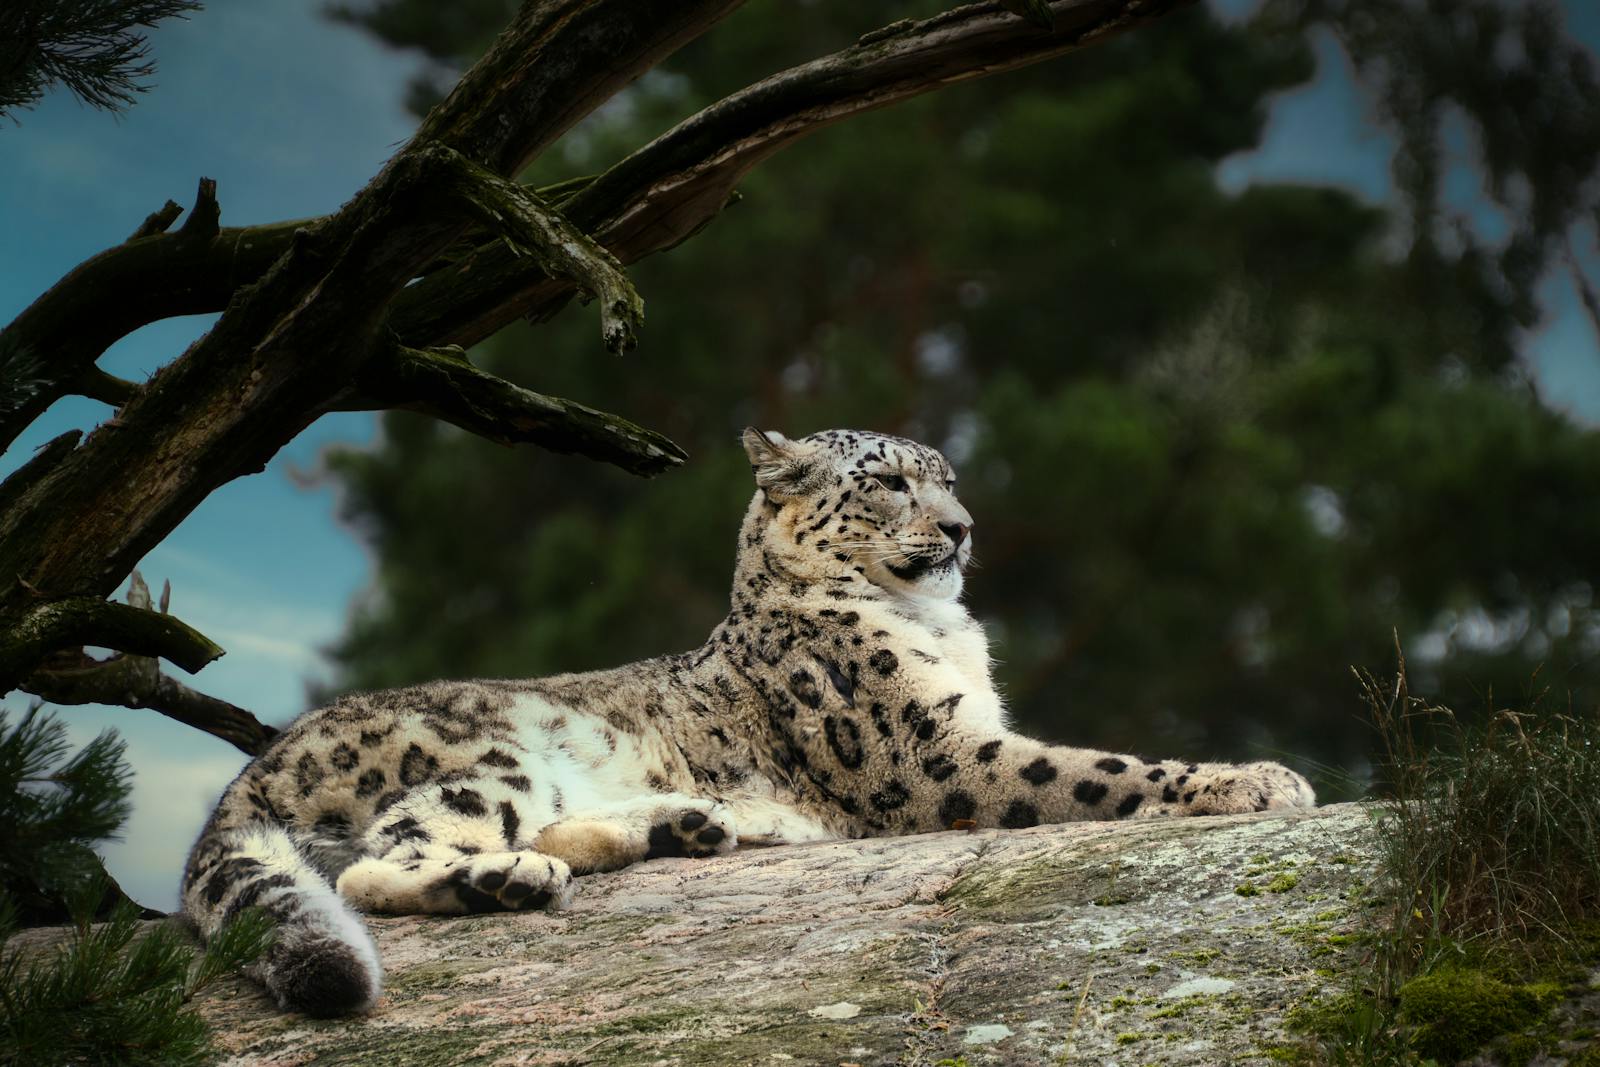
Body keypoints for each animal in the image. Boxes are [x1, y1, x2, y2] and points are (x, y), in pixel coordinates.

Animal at [181, 427, 1315, 1017]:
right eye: (888, 481)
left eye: (948, 479)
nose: (961, 528)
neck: (943, 630)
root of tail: (257, 761)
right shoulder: (935, 753)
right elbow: (1090, 768)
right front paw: (1254, 777)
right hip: (490, 754)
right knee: (382, 859)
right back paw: (508, 879)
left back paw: (682, 823)